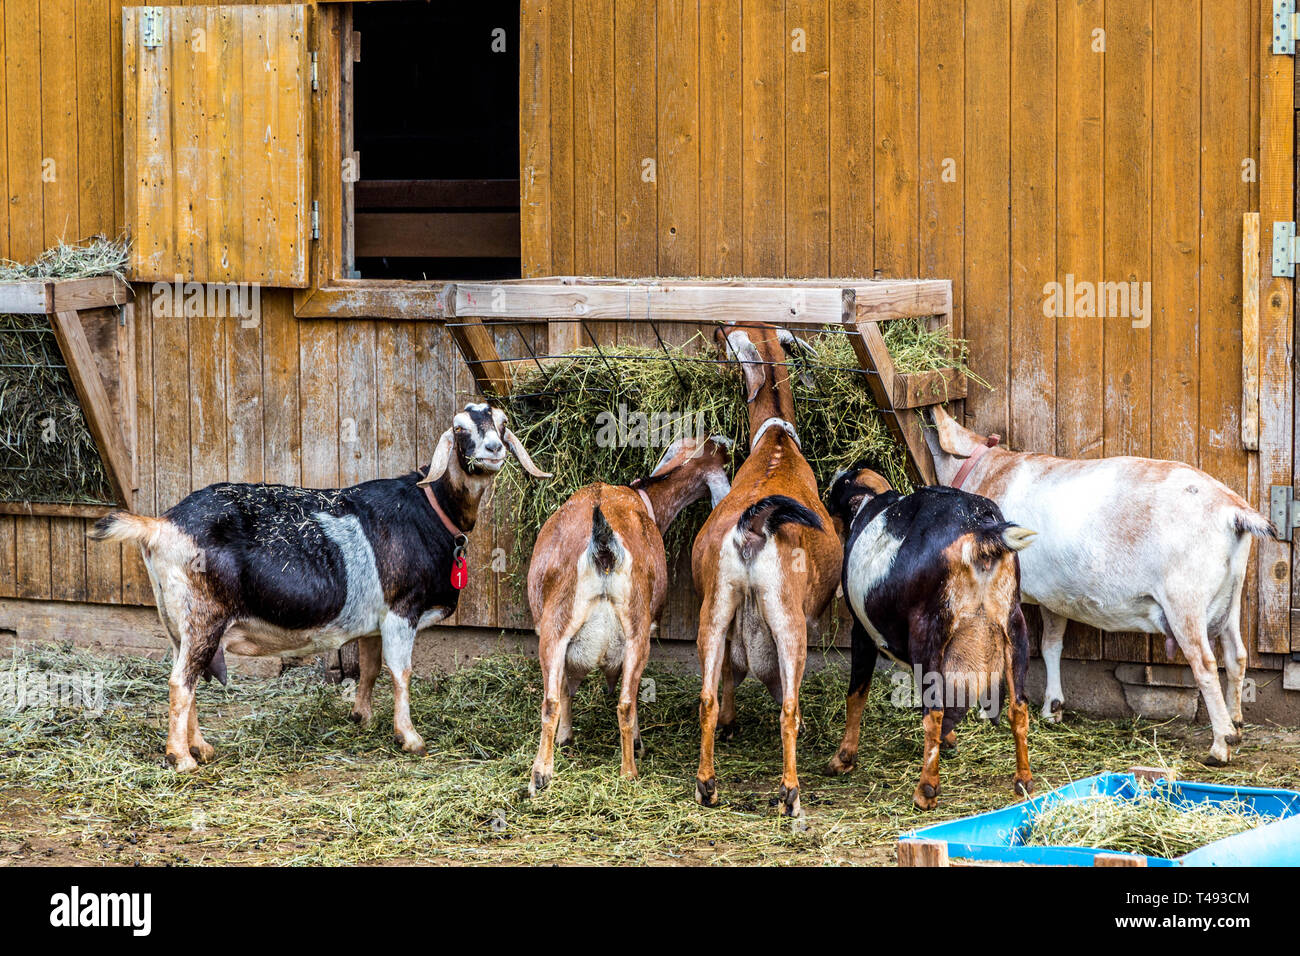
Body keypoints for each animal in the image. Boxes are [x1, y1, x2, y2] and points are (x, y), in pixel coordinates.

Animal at [88, 403, 550, 771]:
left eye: (503, 424)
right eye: (459, 429)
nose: (493, 451)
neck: (429, 509)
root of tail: (160, 524)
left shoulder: (374, 620)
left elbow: (370, 668)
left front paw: (361, 717)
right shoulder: (401, 610)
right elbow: (400, 672)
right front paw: (410, 738)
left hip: (176, 624)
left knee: (190, 678)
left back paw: (201, 747)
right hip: (204, 617)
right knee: (179, 683)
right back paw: (181, 758)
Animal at [527, 435, 733, 795]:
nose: (727, 444)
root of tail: (603, 543)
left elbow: (564, 689)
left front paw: (566, 738)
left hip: (555, 626)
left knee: (551, 700)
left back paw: (541, 774)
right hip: (636, 628)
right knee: (625, 702)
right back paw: (629, 772)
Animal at [690, 323, 842, 817]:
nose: (711, 343)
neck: (777, 443)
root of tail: (754, 526)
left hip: (716, 606)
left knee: (708, 694)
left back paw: (707, 784)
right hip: (787, 617)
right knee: (788, 706)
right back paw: (789, 792)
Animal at [824, 466, 1036, 810]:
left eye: (840, 487)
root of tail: (978, 532)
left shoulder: (861, 630)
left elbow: (856, 693)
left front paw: (842, 759)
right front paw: (950, 740)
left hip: (930, 631)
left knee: (932, 710)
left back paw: (925, 791)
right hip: (1014, 627)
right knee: (1018, 705)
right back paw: (1024, 781)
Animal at [927, 404, 1277, 765]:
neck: (986, 472)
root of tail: (1232, 510)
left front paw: (987, 712)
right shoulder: (1054, 596)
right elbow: (1051, 645)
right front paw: (1053, 708)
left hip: (1185, 598)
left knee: (1205, 664)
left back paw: (1221, 745)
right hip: (1232, 592)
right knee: (1236, 654)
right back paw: (1237, 724)